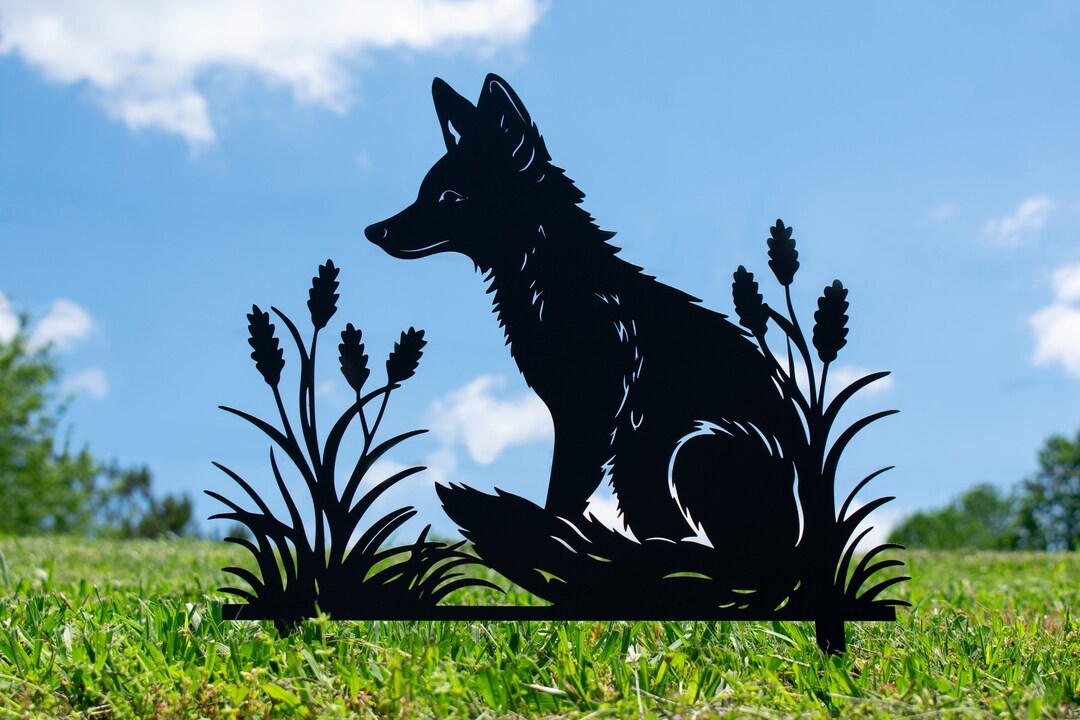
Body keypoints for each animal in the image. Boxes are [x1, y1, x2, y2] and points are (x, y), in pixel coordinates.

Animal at [366, 74, 800, 553]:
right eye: (423, 193)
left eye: (449, 197)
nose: (372, 231)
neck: (554, 277)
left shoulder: (591, 413)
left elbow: (562, 494)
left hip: (686, 447)